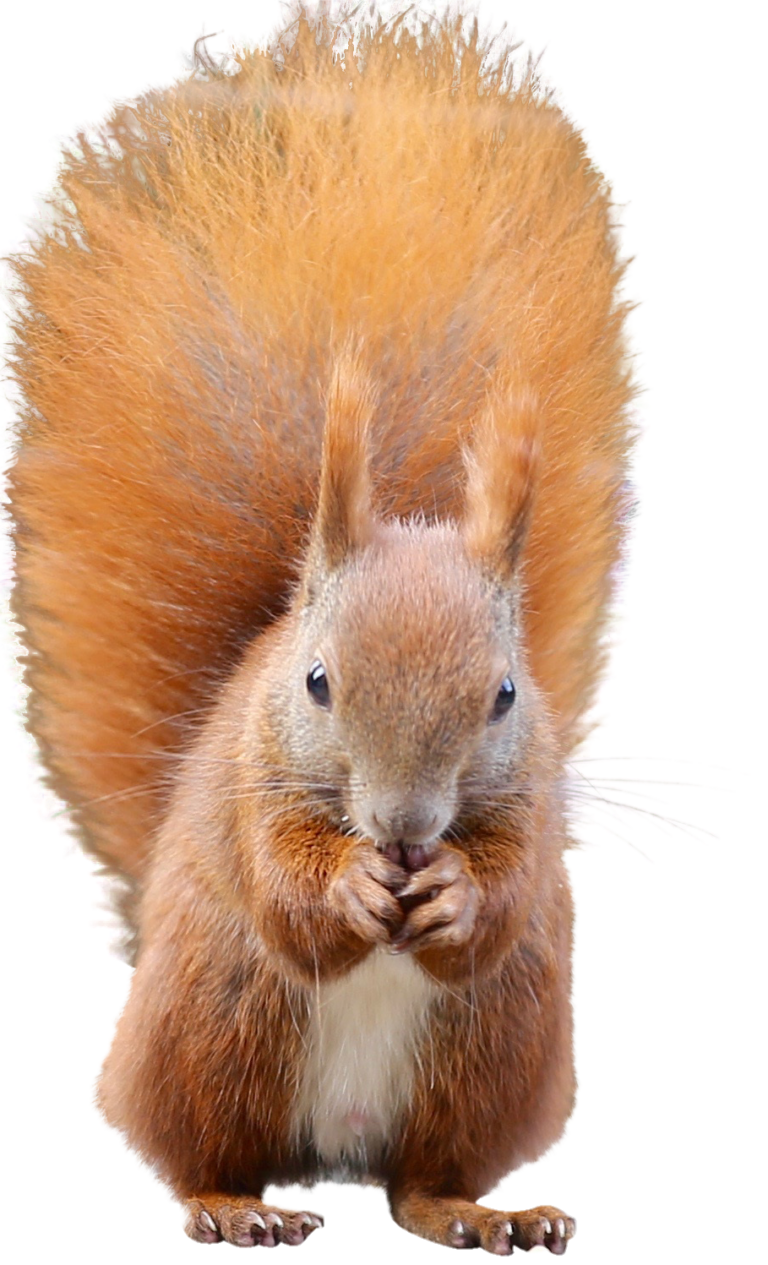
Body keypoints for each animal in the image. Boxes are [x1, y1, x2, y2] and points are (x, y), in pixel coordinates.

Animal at [4, 0, 718, 1253]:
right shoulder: (253, 785)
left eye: (505, 692)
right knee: (189, 1150)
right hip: (219, 1027)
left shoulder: (530, 802)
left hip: (486, 1053)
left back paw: (483, 1213)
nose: (404, 827)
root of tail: (330, 1149)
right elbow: (286, 885)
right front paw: (344, 888)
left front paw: (453, 892)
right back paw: (236, 1205)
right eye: (317, 681)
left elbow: (504, 892)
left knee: (417, 1180)